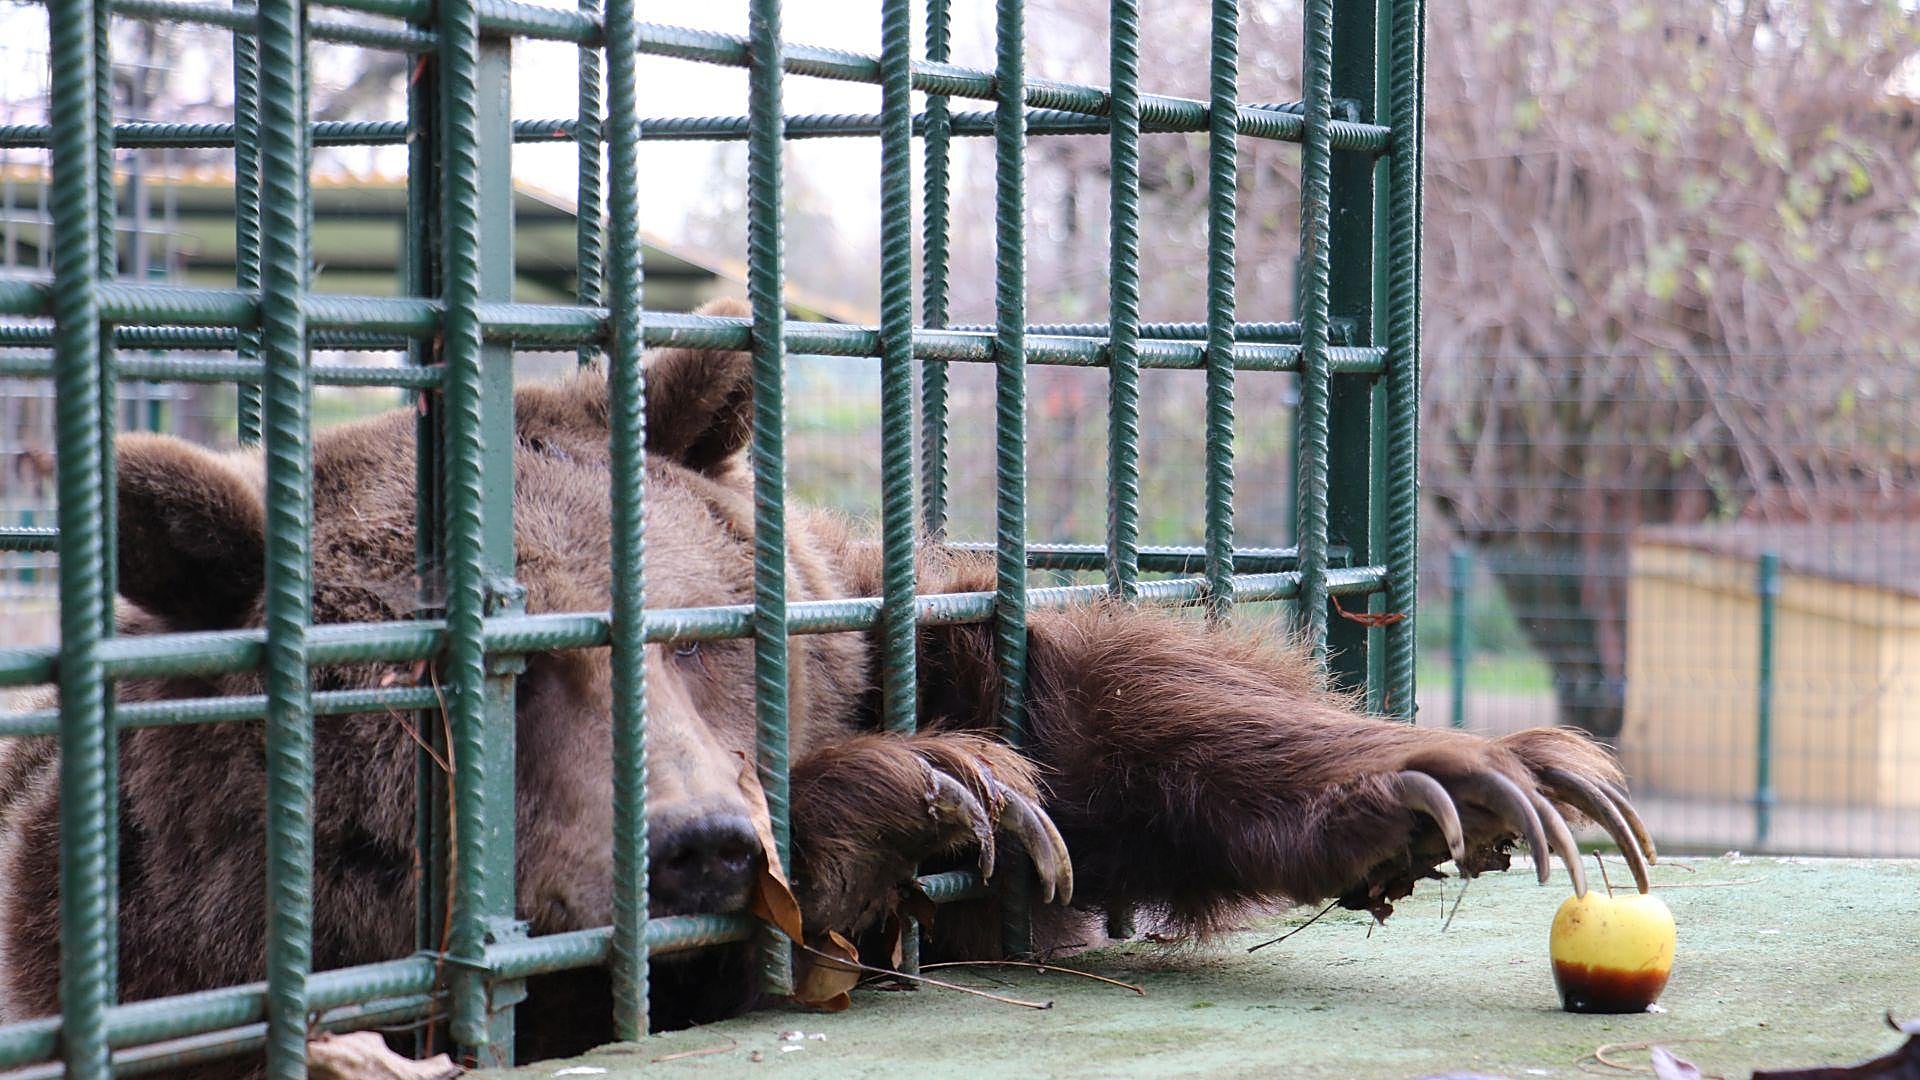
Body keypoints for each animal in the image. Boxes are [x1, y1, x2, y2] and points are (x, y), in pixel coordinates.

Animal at [0, 298, 1654, 1076]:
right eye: (477, 687)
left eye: (699, 632)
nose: (695, 843)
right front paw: (918, 791)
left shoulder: (867, 601)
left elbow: (1072, 691)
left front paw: (1470, 777)